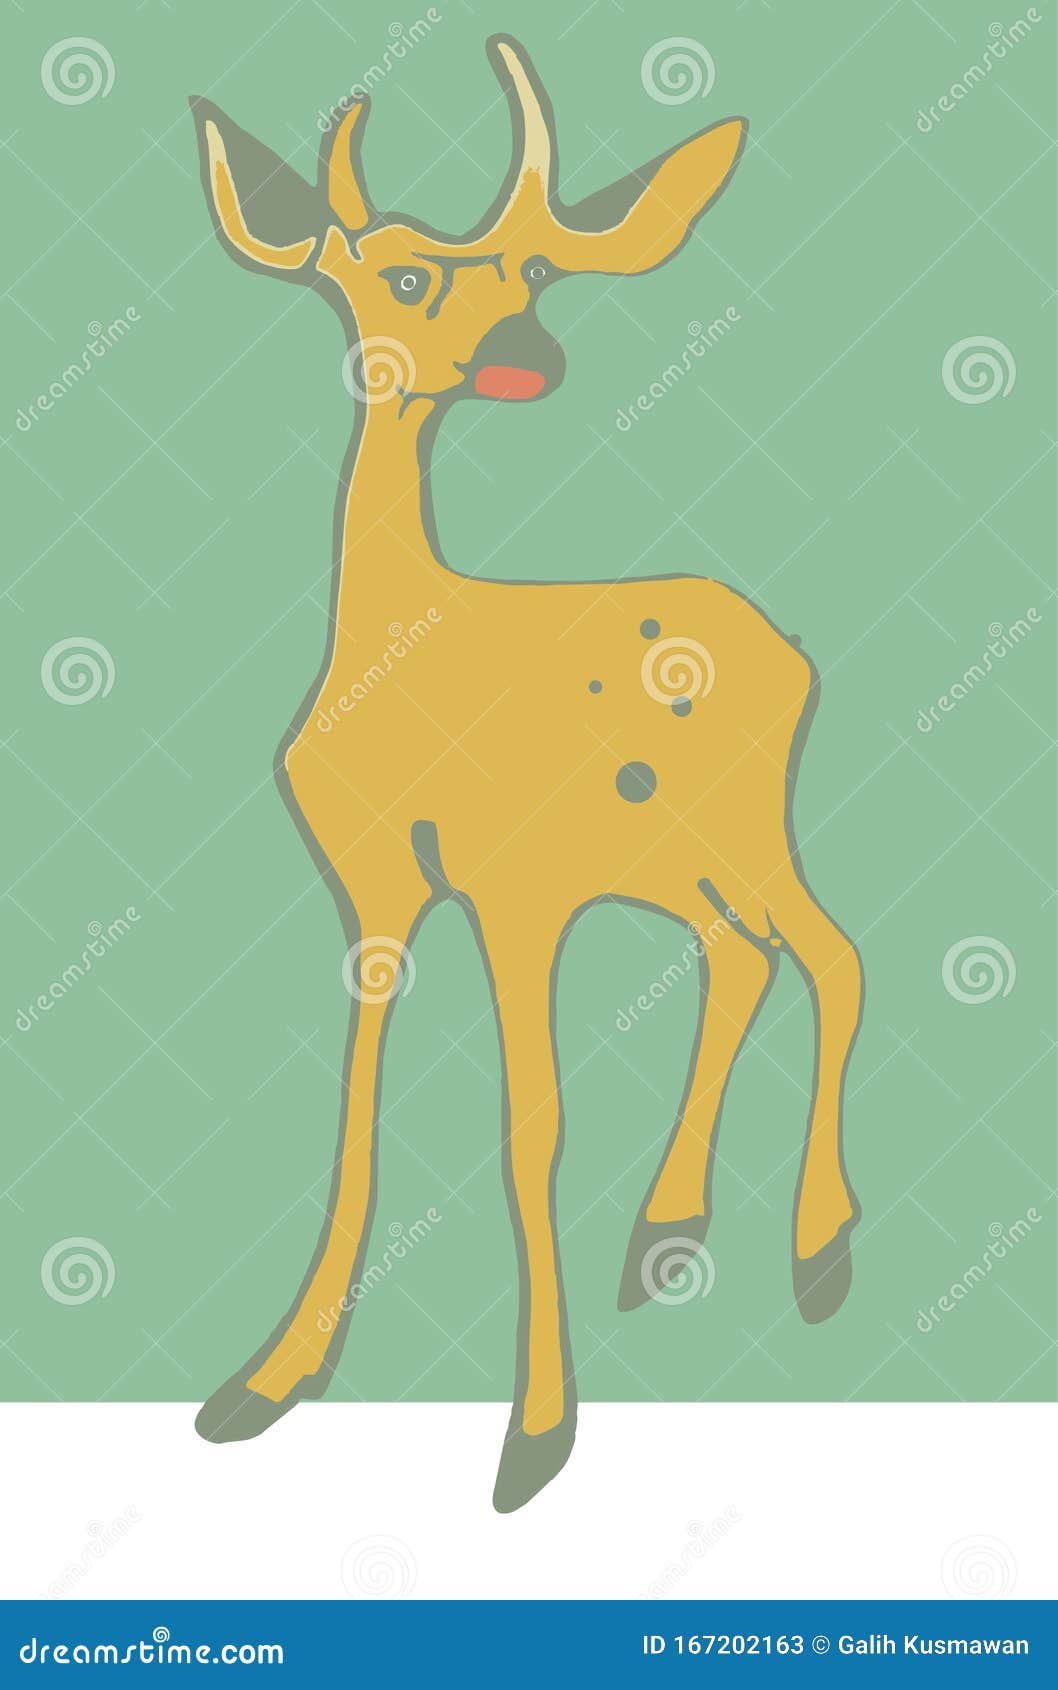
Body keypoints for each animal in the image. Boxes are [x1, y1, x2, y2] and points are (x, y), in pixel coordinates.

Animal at [189, 34, 863, 1512]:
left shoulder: (515, 885)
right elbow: (357, 1112)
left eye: (537, 277)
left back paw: (819, 1252)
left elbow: (529, 1128)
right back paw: (667, 1232)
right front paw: (267, 1380)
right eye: (402, 275)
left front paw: (536, 1436)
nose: (526, 355)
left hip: (742, 822)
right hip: (668, 859)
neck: (398, 660)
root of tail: (783, 642)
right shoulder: (377, 889)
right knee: (742, 956)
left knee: (829, 953)